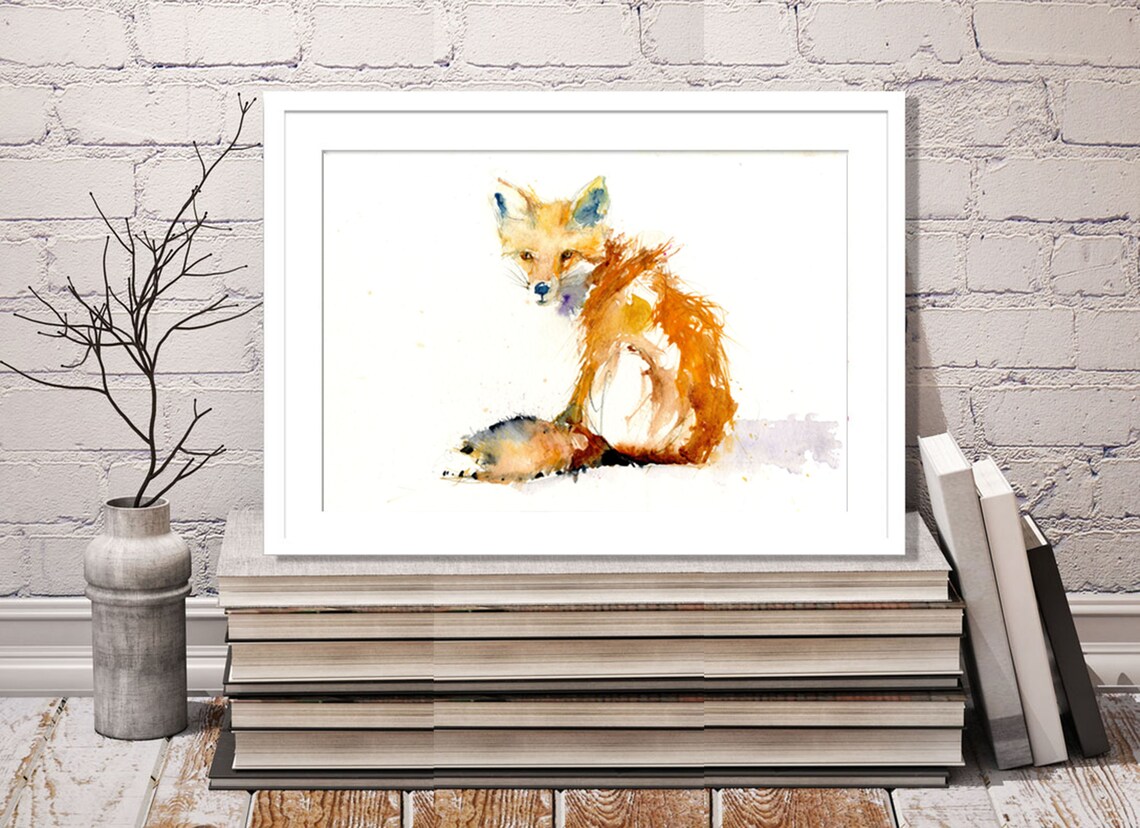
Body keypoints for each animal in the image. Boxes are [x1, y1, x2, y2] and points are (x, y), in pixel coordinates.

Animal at [456, 176, 737, 483]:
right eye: (527, 256)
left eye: (566, 255)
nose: (541, 288)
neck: (598, 276)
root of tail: (698, 450)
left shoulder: (594, 347)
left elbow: (572, 409)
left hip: (627, 360)